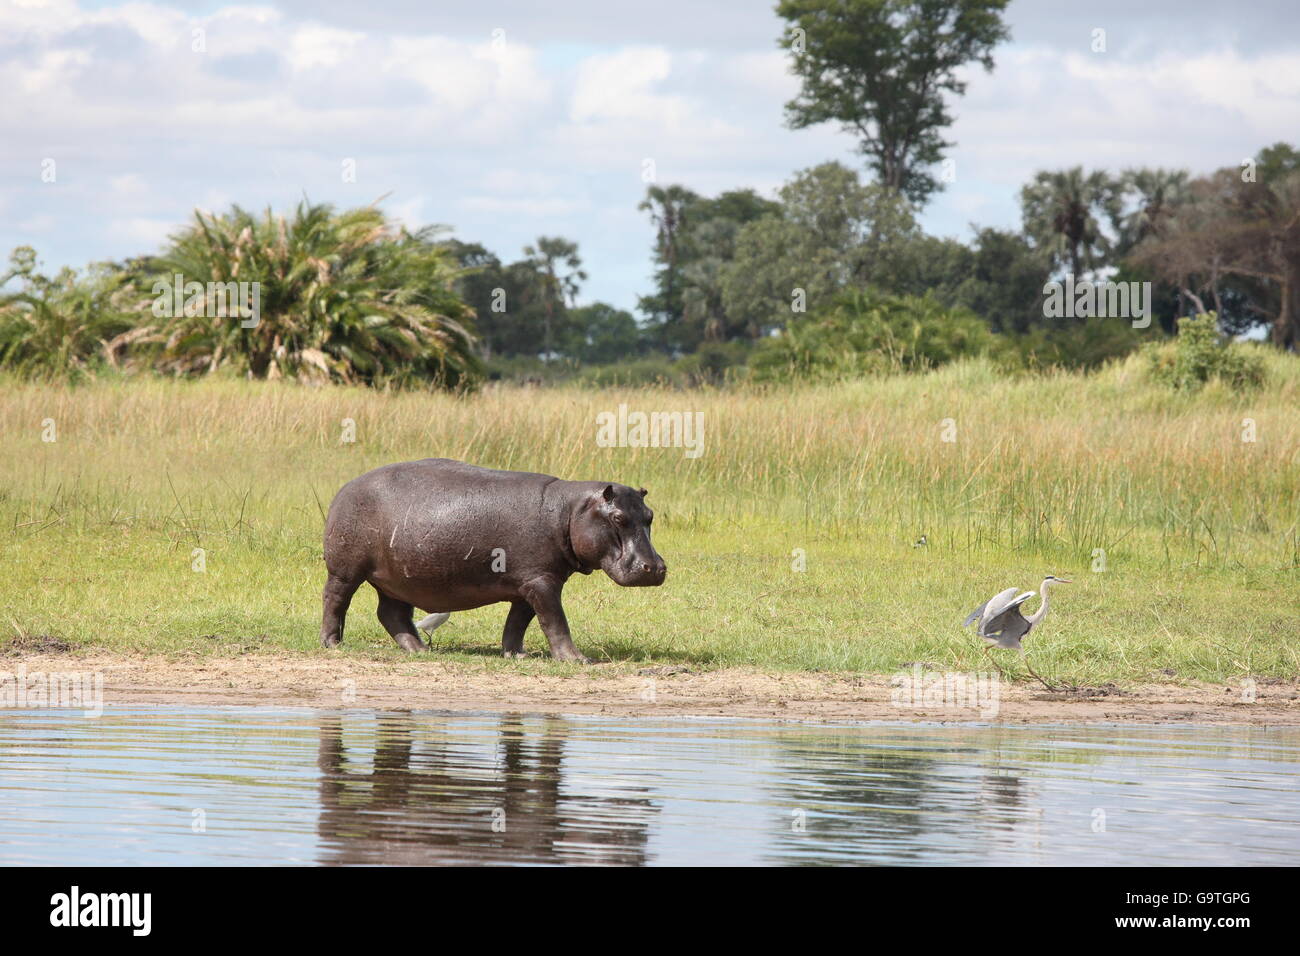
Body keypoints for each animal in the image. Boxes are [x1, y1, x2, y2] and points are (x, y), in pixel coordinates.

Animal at [320, 459, 667, 662]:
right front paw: (577, 659)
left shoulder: (531, 581)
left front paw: (516, 655)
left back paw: (419, 649)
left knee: (392, 613)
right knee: (335, 598)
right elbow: (555, 621)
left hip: (397, 577)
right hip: (346, 570)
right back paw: (332, 644)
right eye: (618, 518)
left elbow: (519, 622)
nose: (655, 567)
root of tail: (346, 487)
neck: (571, 509)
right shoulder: (541, 582)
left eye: (650, 515)